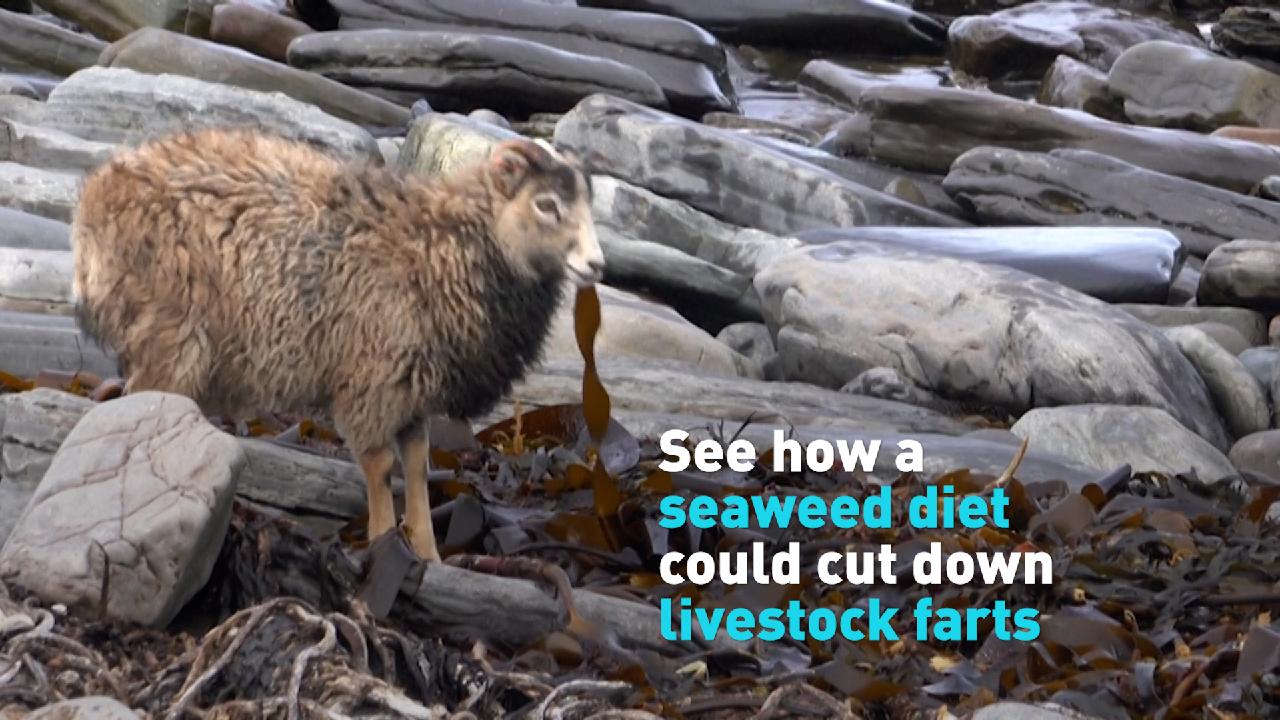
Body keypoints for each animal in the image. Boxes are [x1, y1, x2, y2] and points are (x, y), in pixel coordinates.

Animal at [71, 128, 604, 561]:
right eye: (546, 204)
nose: (597, 266)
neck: (444, 246)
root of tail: (95, 199)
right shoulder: (373, 378)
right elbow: (380, 465)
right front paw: (385, 542)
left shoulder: (413, 386)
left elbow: (415, 467)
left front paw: (428, 554)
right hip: (171, 332)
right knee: (145, 405)